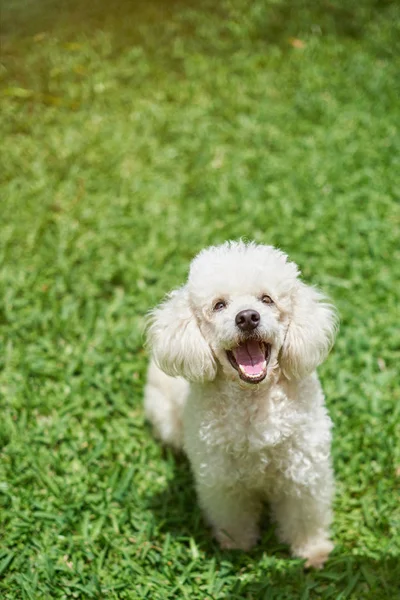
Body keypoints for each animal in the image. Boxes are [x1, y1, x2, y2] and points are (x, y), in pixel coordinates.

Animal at [144, 240, 338, 568]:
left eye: (267, 299)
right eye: (219, 305)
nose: (247, 317)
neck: (254, 401)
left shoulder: (303, 474)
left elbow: (304, 517)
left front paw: (312, 552)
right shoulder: (223, 482)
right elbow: (234, 518)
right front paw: (237, 547)